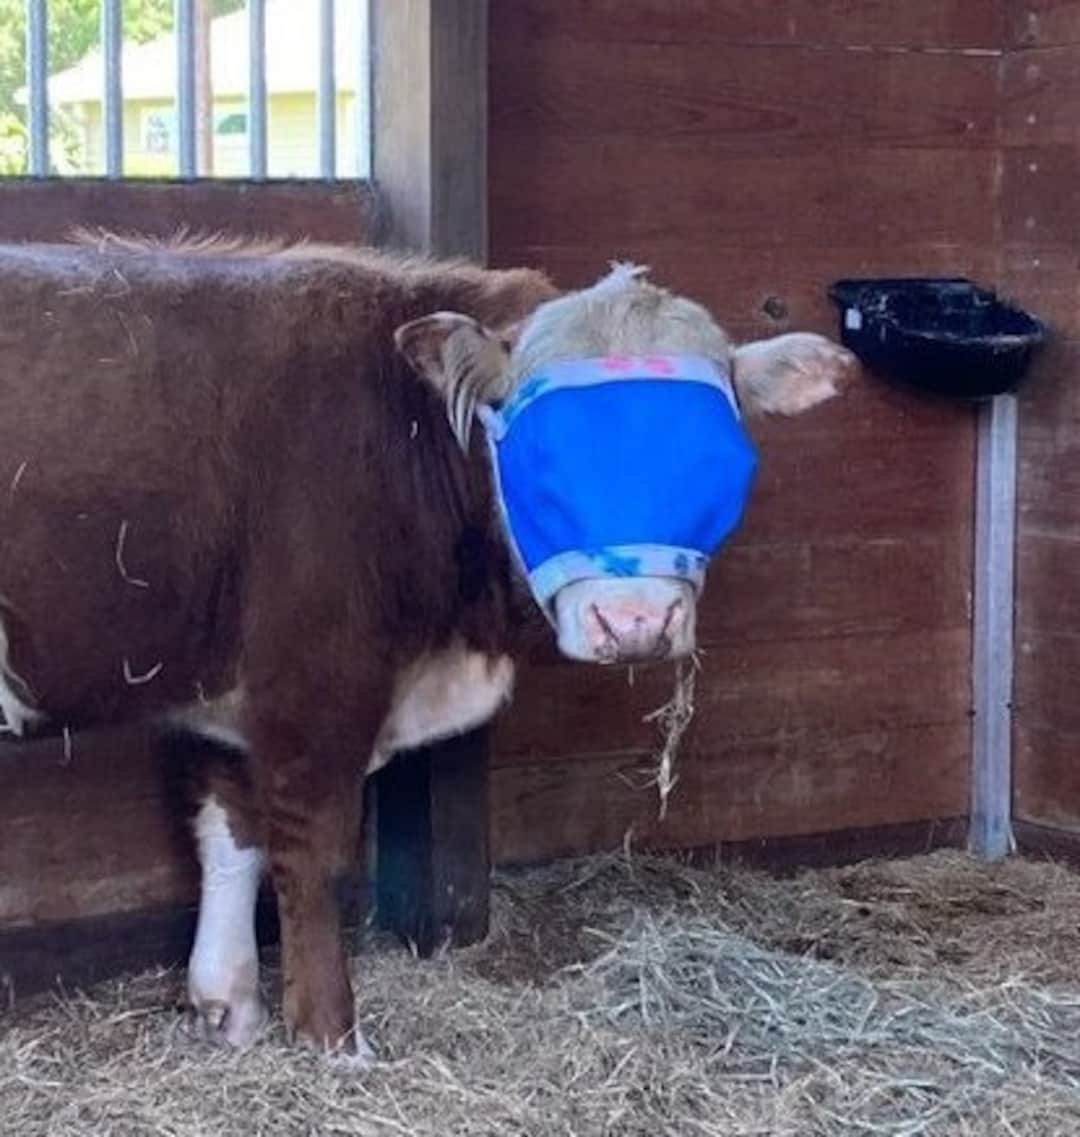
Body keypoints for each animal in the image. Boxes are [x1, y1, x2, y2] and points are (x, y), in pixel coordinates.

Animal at [0, 236, 856, 1061]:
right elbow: (313, 853)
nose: (635, 619)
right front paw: (332, 1036)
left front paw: (231, 1004)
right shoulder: (317, 679)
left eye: (717, 458)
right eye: (545, 457)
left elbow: (230, 832)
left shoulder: (232, 688)